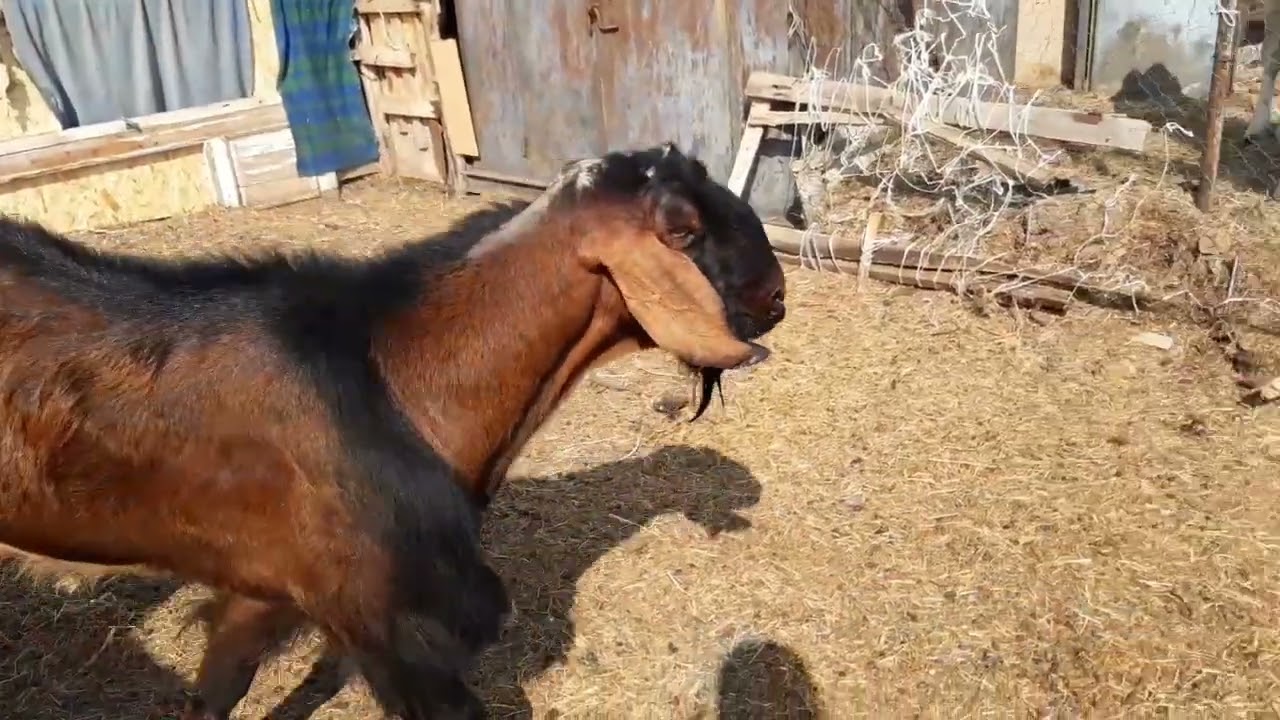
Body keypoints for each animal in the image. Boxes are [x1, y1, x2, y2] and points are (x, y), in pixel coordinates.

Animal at [0, 142, 787, 719]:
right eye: (682, 230)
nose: (776, 295)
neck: (393, 378)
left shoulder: (270, 587)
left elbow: (216, 691)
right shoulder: (397, 630)